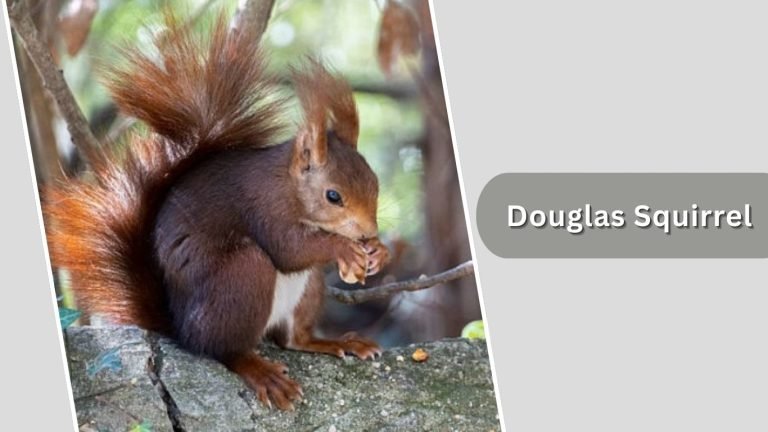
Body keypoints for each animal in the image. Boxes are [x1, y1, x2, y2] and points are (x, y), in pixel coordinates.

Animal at [45, 14, 390, 410]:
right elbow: (289, 249)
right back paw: (261, 372)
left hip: (308, 287)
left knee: (292, 339)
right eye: (333, 196)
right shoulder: (264, 207)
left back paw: (334, 341)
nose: (367, 232)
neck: (288, 186)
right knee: (224, 350)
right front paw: (343, 248)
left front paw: (379, 252)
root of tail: (182, 329)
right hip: (242, 276)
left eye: (375, 183)